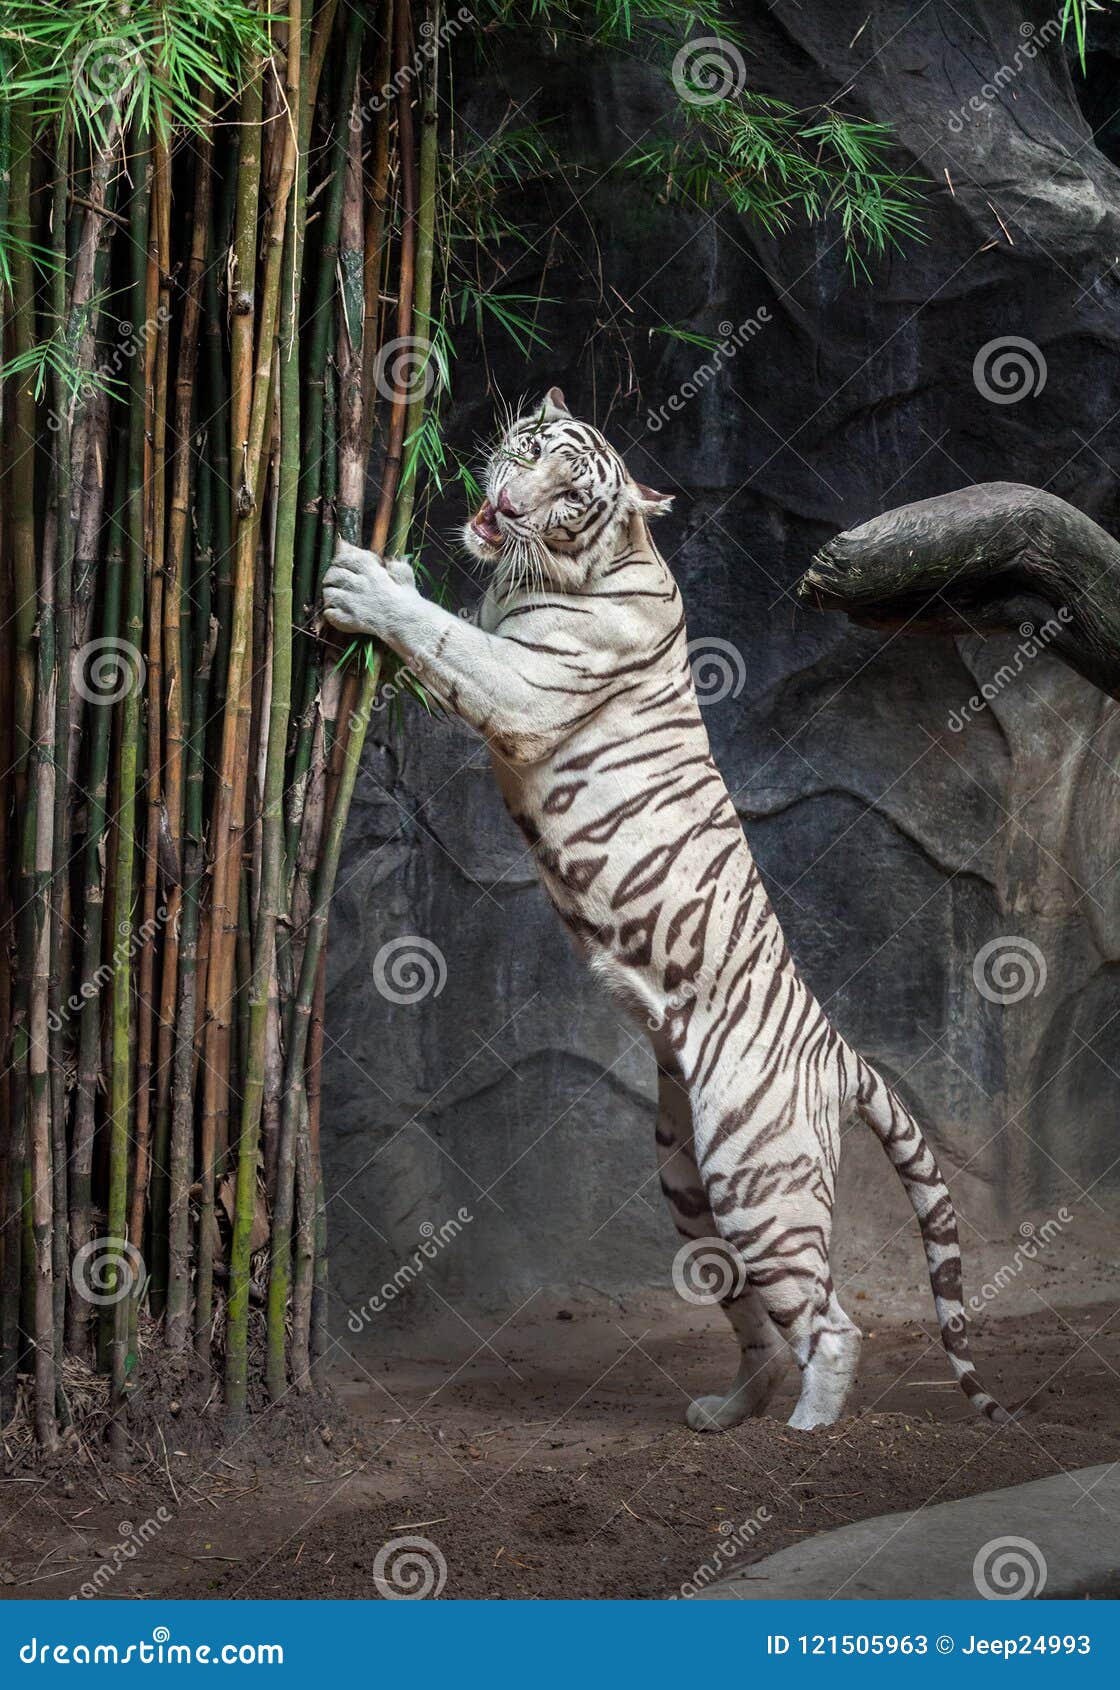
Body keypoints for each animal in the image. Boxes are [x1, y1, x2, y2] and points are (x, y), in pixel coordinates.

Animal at [322, 387, 1010, 1432]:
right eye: (528, 450)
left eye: (570, 497)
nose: (509, 507)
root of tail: (840, 1051)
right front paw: (393, 561)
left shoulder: (521, 682)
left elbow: (442, 635)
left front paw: (365, 584)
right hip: (684, 1179)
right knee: (758, 1320)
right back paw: (726, 1411)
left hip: (754, 1178)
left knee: (830, 1319)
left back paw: (810, 1426)